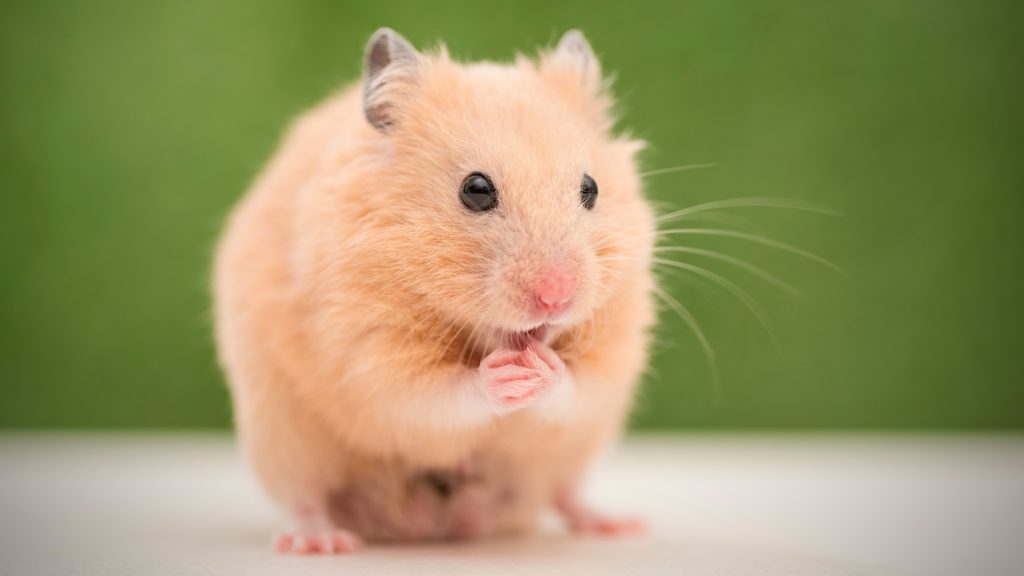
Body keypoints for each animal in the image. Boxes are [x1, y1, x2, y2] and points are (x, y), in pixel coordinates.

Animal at [213, 27, 656, 554]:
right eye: (476, 190)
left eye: (591, 188)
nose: (557, 297)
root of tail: (431, 522)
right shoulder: (367, 353)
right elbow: (431, 396)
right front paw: (505, 375)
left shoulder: (615, 352)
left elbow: (579, 387)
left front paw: (542, 370)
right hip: (280, 435)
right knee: (304, 497)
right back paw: (321, 542)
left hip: (572, 454)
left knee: (563, 493)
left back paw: (617, 524)